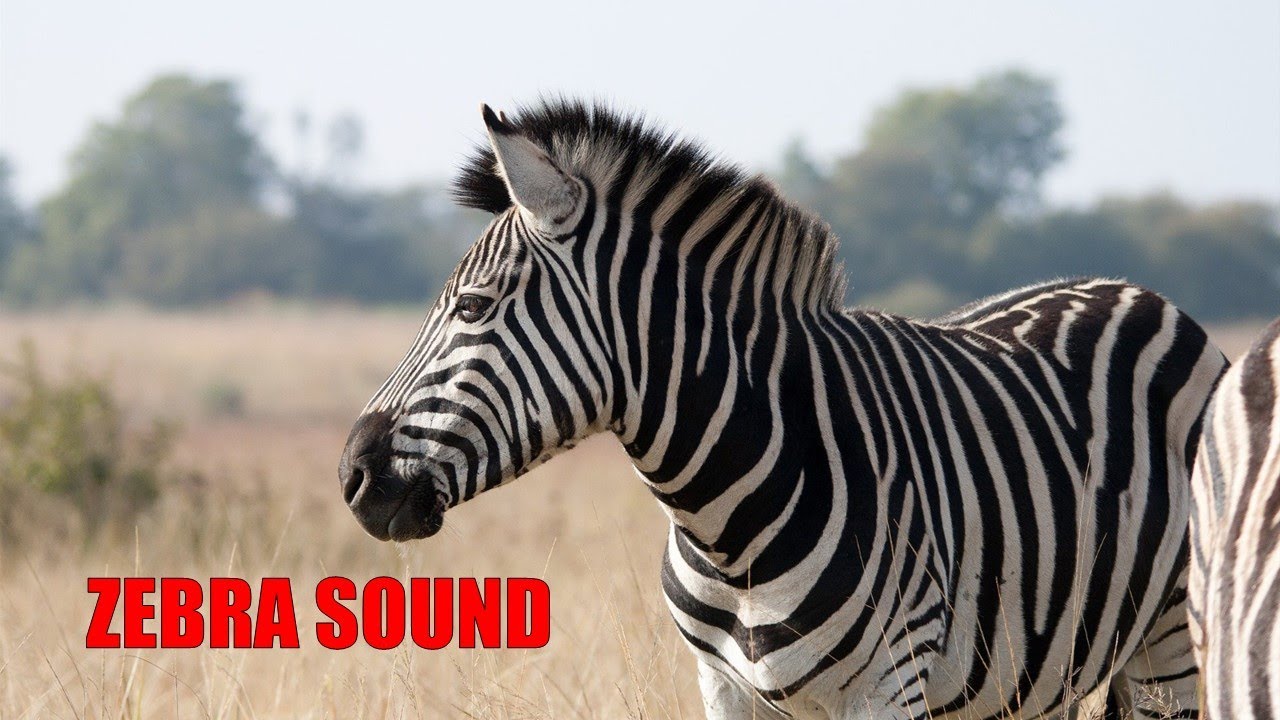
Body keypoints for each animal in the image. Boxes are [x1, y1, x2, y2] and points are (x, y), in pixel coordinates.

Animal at [337, 100, 1227, 719]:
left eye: (474, 308)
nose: (353, 475)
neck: (729, 524)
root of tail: (1135, 291)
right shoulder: (723, 685)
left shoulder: (892, 685)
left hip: (1172, 645)